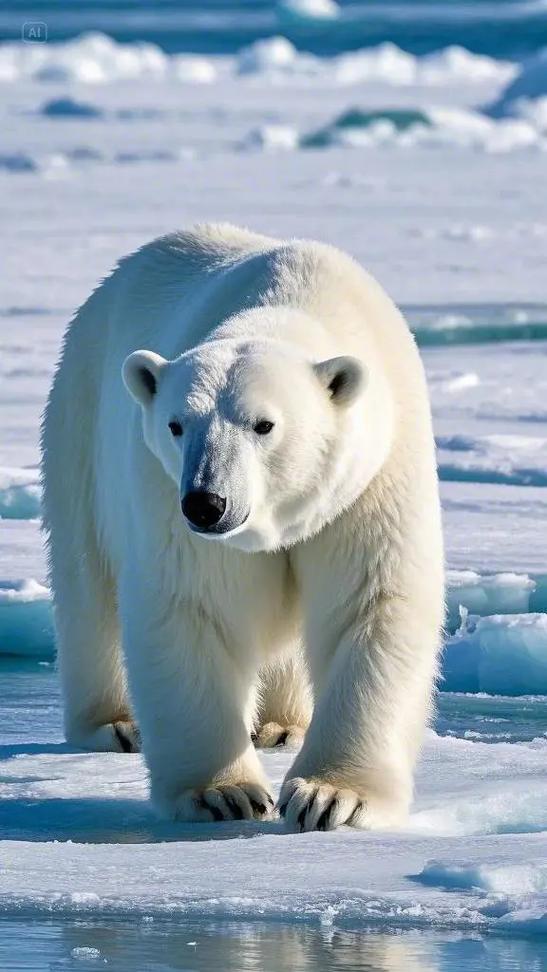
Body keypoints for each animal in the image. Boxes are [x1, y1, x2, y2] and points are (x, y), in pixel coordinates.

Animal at [41, 223, 444, 832]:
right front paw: (222, 795)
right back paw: (114, 723)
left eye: (264, 425)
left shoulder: (373, 480)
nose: (207, 504)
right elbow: (194, 605)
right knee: (89, 583)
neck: (290, 302)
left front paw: (331, 798)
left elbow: (370, 600)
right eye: (177, 424)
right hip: (82, 423)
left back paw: (281, 724)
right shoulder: (166, 495)